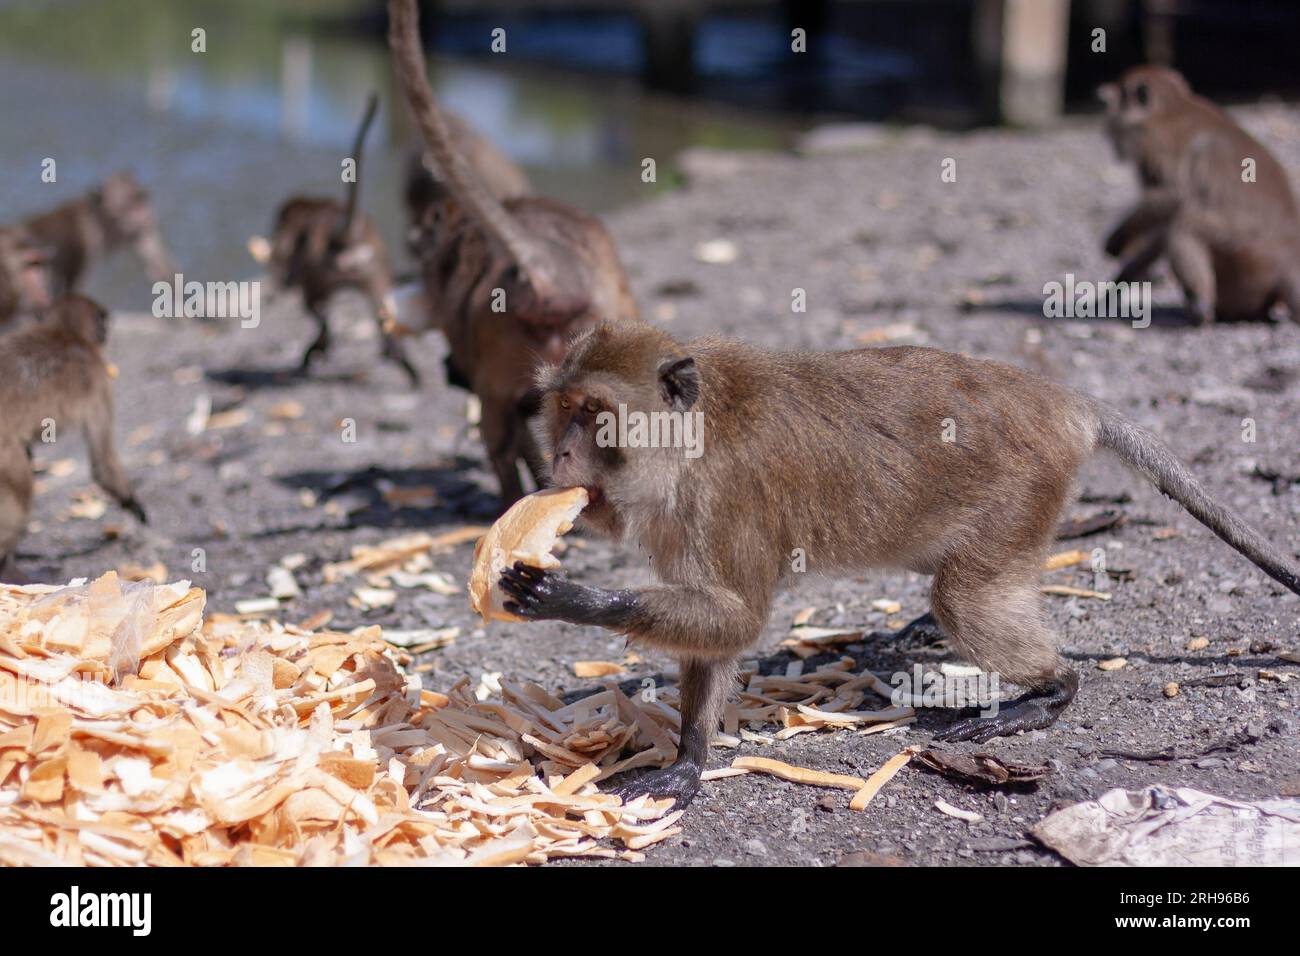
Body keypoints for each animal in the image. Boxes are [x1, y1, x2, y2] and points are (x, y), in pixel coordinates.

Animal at [0, 294, 146, 582]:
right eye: (103, 320)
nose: (105, 331)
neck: (64, 332)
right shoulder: (99, 379)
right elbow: (103, 464)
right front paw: (132, 503)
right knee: (22, 490)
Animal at [256, 93, 419, 385]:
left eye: (278, 221)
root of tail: (346, 233)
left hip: (318, 278)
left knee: (319, 312)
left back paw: (320, 345)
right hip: (374, 273)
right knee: (379, 315)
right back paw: (400, 359)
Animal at [495, 322, 1300, 806]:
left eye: (595, 415)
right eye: (562, 409)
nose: (559, 458)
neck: (692, 439)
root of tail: (1058, 401)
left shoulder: (727, 499)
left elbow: (738, 617)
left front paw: (571, 597)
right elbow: (719, 634)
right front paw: (690, 758)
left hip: (1024, 487)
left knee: (967, 600)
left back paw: (1050, 692)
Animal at [1099, 66, 1300, 324]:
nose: (1114, 145)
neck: (1173, 106)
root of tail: (1289, 261)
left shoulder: (1154, 145)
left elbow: (1177, 197)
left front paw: (1119, 237)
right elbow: (1165, 224)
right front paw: (1123, 279)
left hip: (1247, 251)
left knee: (1186, 225)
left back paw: (1200, 306)